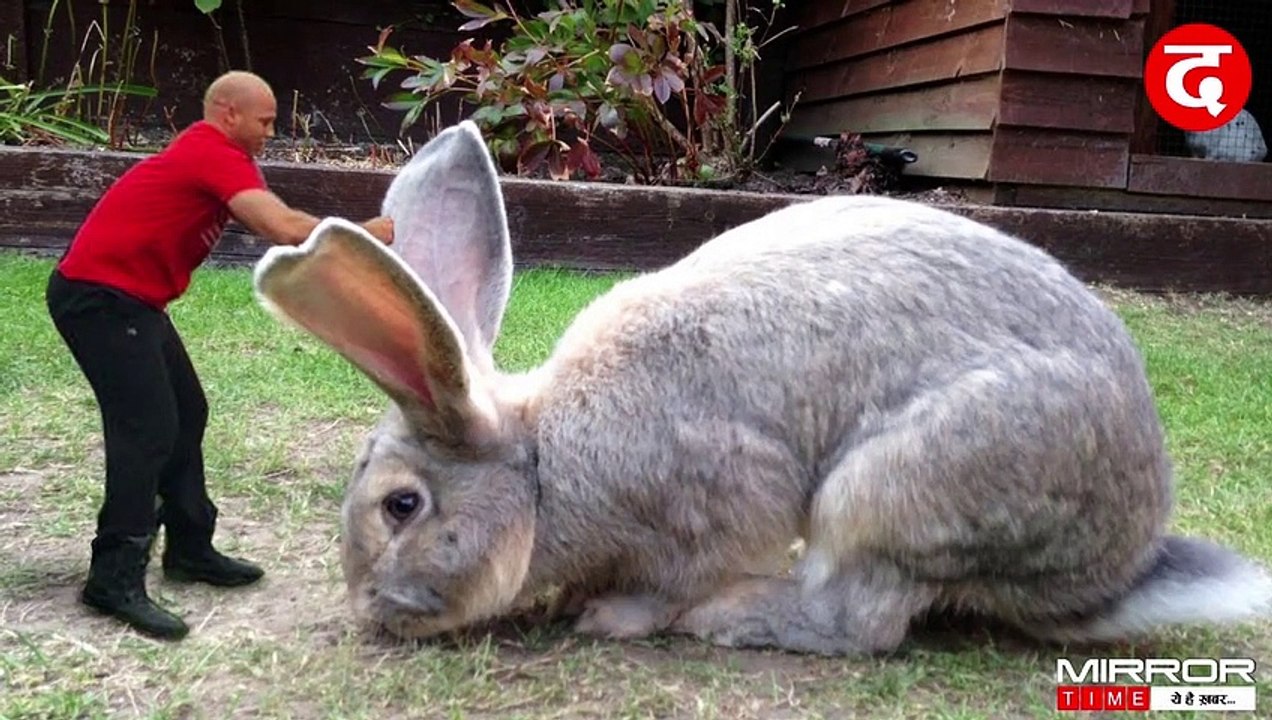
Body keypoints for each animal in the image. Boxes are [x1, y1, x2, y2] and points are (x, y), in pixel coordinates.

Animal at [251, 120, 1272, 656]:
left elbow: (669, 581)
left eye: (403, 506)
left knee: (864, 620)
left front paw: (611, 616)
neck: (544, 462)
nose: (370, 612)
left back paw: (734, 617)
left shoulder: (719, 501)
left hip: (895, 489)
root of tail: (1118, 567)